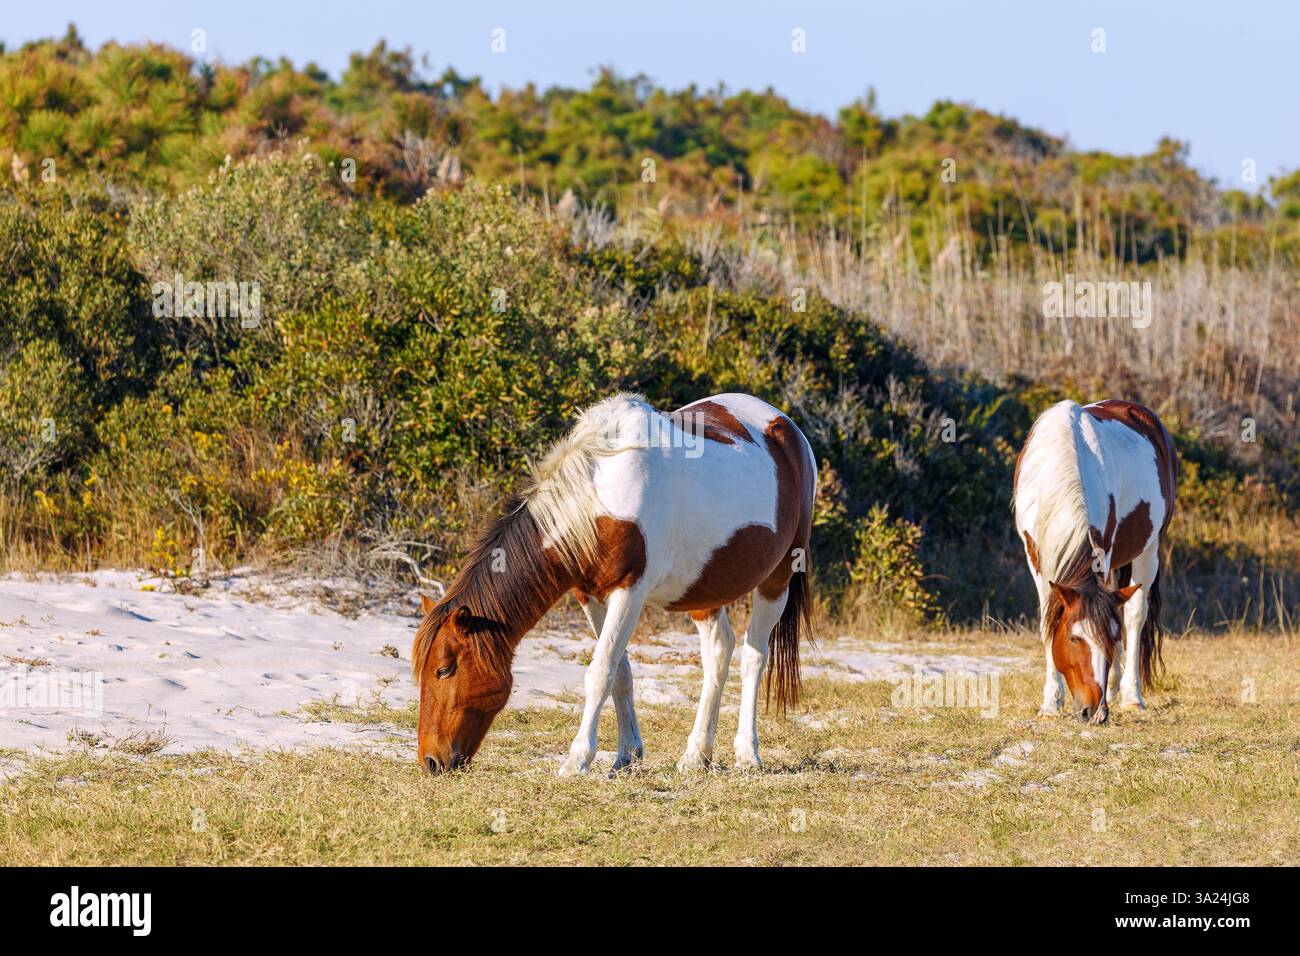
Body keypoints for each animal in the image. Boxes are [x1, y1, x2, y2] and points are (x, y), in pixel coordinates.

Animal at [412, 392, 817, 775]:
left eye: (444, 670)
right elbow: (620, 672)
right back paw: (696, 755)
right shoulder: (590, 595)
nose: (431, 761)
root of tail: (786, 428)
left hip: (778, 577)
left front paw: (577, 760)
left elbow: (600, 671)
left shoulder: (629, 592)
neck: (602, 496)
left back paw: (748, 754)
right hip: (704, 589)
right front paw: (627, 755)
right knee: (718, 651)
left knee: (754, 657)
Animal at [1013, 399, 1177, 724]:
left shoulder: (1105, 550)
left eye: (1110, 639)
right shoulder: (1034, 555)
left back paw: (1130, 696)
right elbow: (1047, 619)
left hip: (1149, 550)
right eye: (1074, 639)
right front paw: (1051, 703)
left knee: (1134, 615)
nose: (1094, 712)